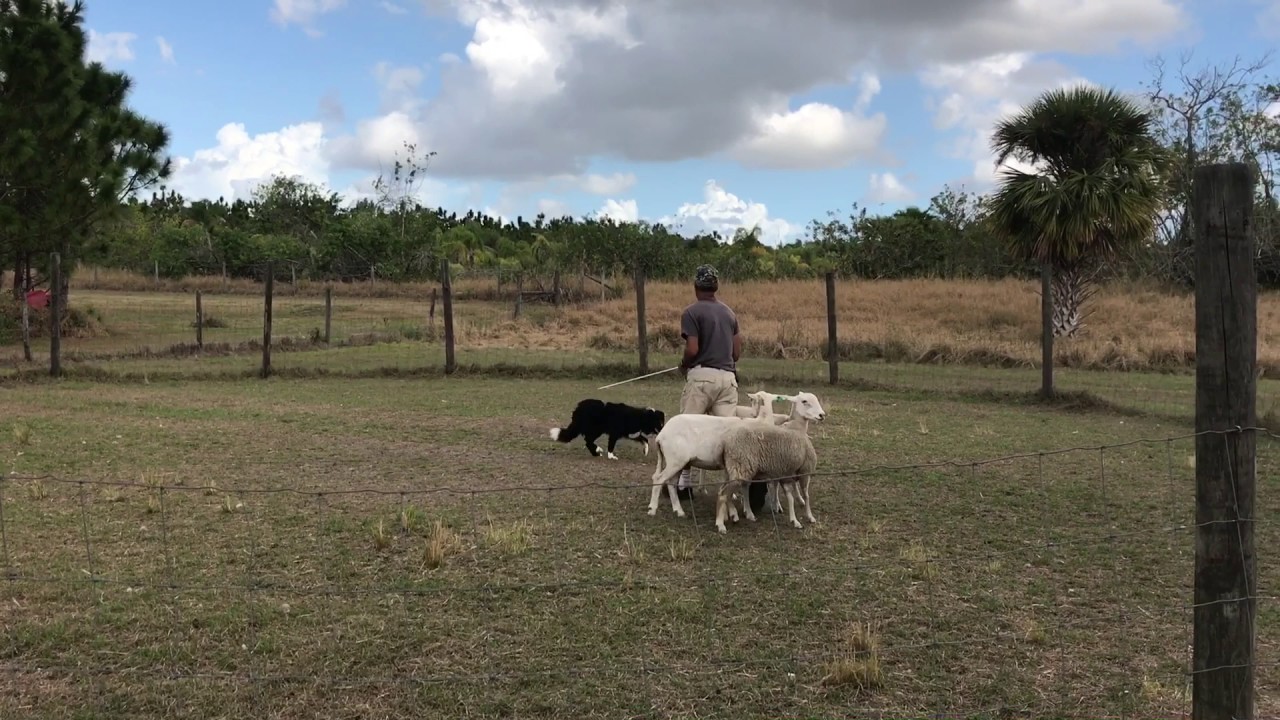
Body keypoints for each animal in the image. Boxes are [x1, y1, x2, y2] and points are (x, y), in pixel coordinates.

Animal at [646, 391, 825, 518]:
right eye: (805, 401)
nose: (822, 416)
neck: (761, 420)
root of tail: (662, 434)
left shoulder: (731, 464)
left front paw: (732, 510)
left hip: (678, 461)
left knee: (670, 483)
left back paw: (679, 511)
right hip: (676, 460)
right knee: (659, 479)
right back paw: (653, 509)